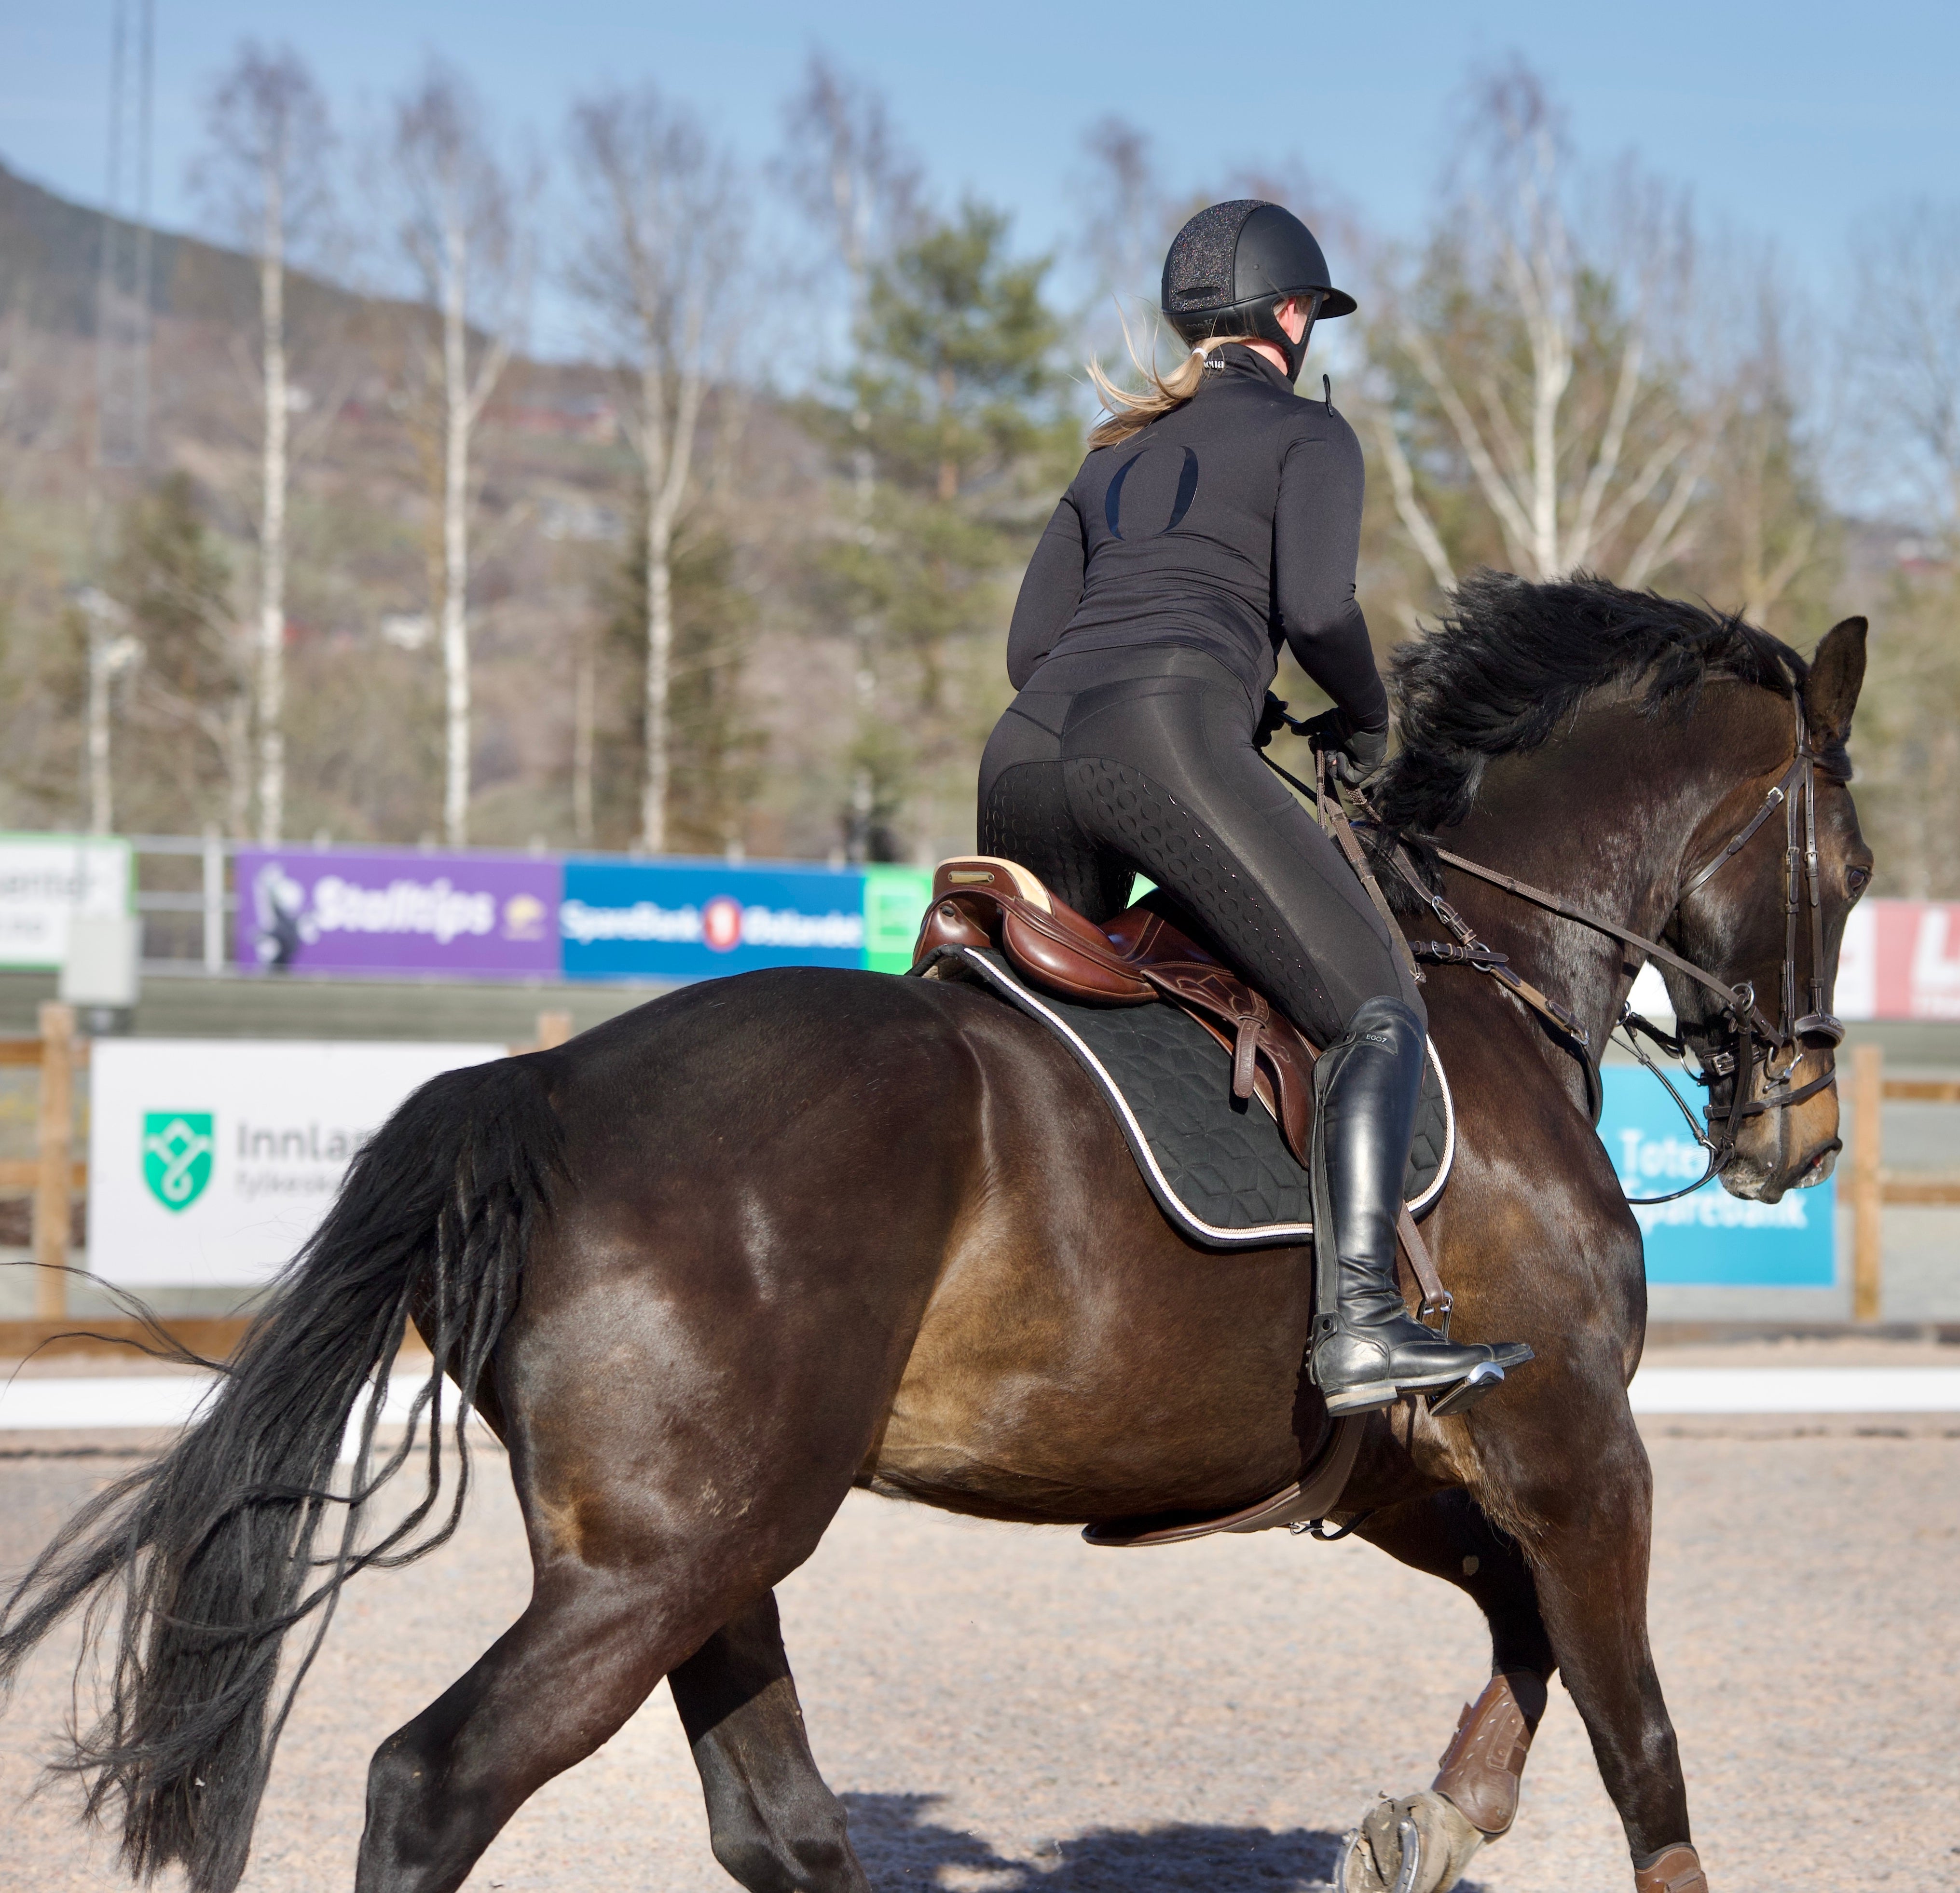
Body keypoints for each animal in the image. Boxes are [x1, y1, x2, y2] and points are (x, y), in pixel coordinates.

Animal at [0, 573, 1870, 1893]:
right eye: (1847, 866)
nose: (1798, 1136)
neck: (1480, 976)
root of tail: (538, 1092)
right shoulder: (1574, 1437)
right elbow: (1635, 1733)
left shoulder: (1413, 1463)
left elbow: (1521, 1633)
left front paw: (1433, 1819)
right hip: (662, 1558)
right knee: (431, 1783)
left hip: (715, 1547)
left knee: (778, 1822)